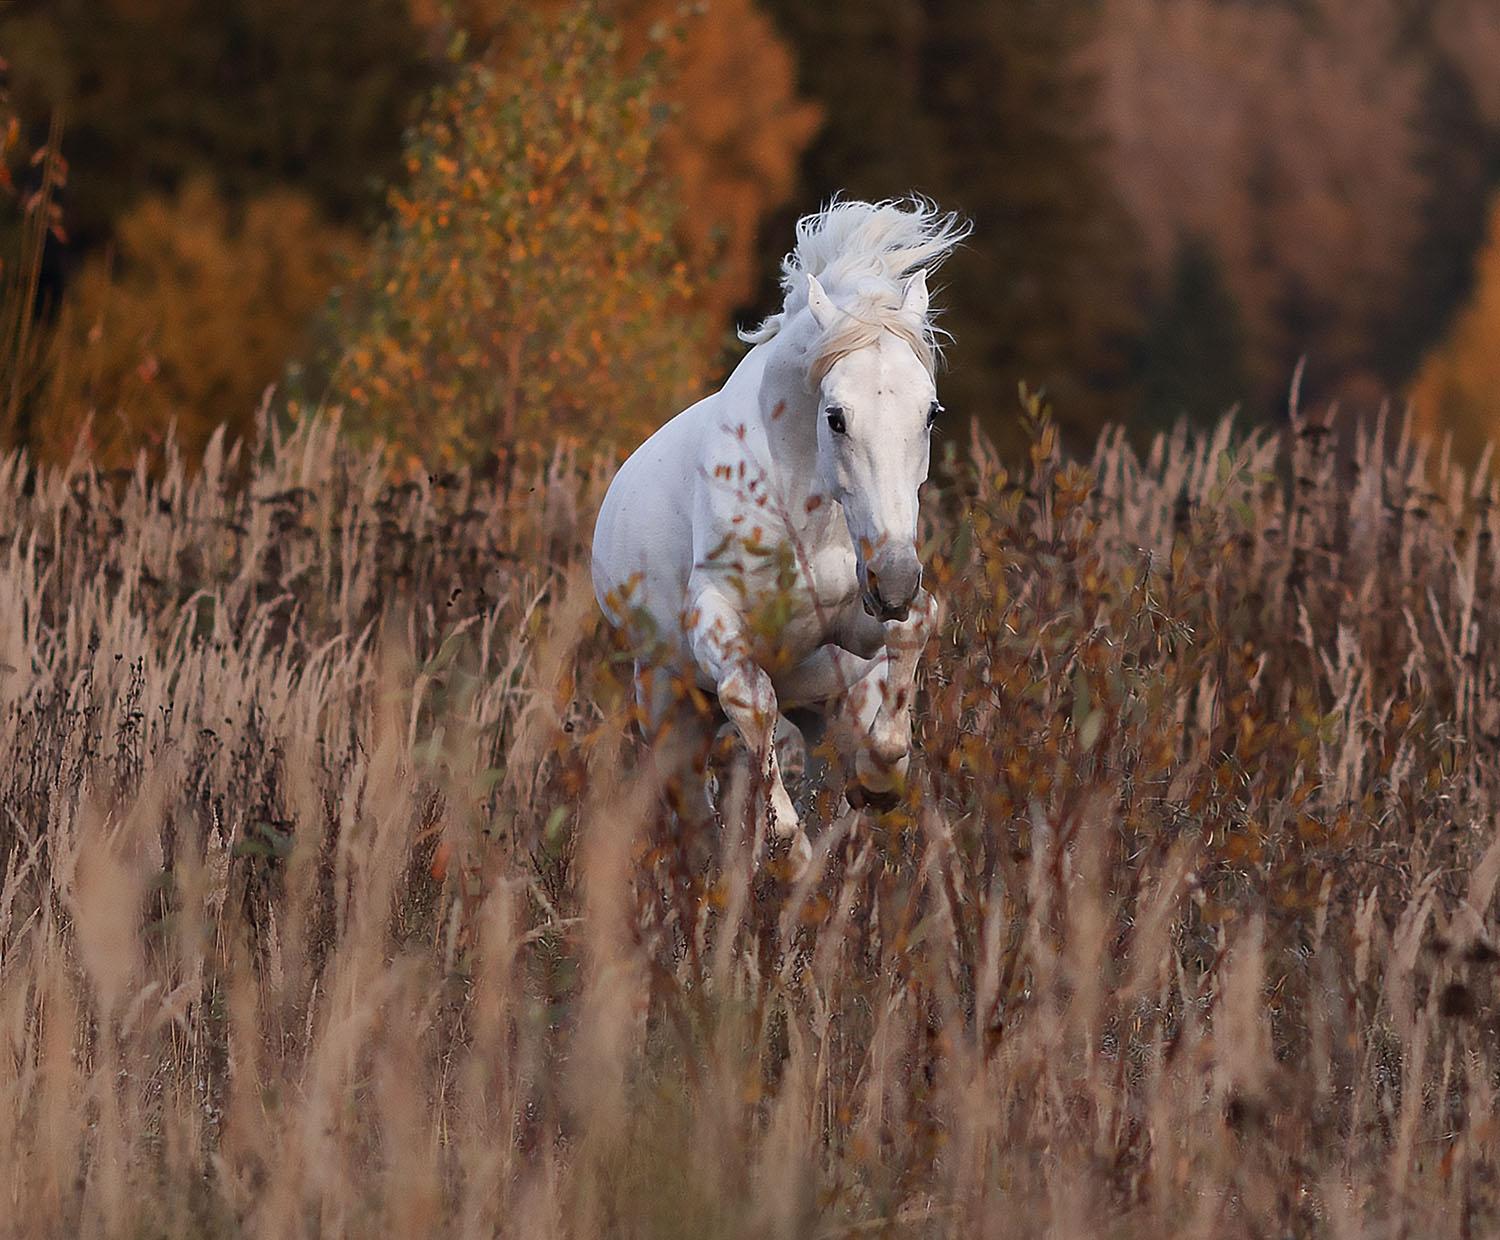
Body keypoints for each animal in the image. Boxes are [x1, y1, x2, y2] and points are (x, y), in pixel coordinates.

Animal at [591, 199, 966, 869]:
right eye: (835, 417)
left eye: (930, 412)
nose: (894, 578)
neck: (801, 519)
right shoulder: (716, 623)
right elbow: (753, 702)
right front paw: (787, 844)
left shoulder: (854, 622)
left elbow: (918, 624)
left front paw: (880, 777)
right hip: (668, 711)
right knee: (696, 818)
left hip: (828, 707)